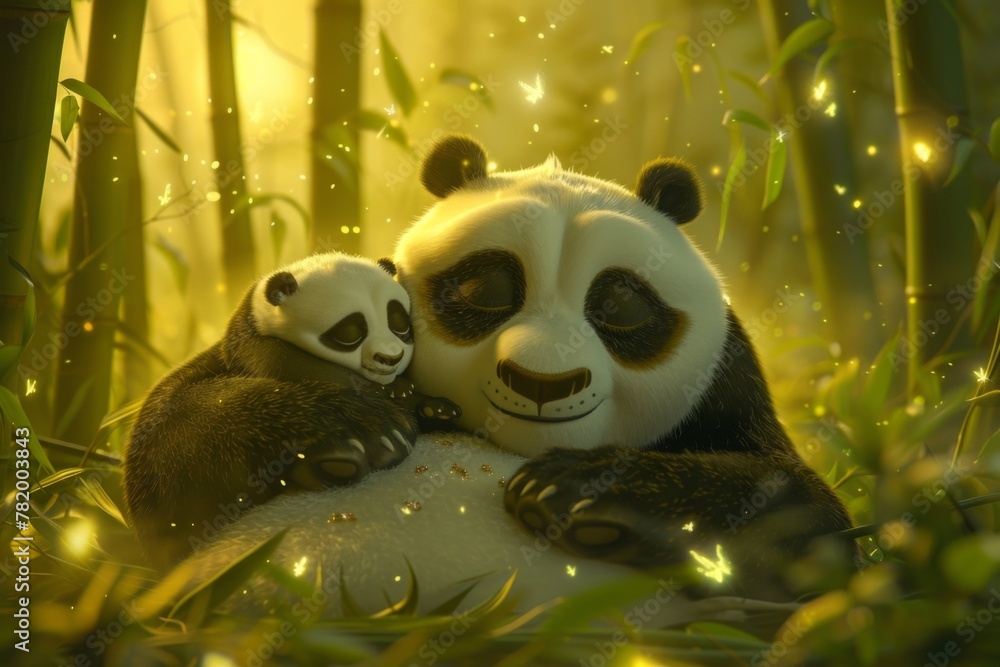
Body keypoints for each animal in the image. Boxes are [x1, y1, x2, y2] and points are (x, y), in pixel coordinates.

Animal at [122, 253, 459, 570]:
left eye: (400, 323)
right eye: (350, 331)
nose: (390, 358)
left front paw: (432, 406)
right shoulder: (255, 348)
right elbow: (300, 368)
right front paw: (393, 408)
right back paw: (362, 446)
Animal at [181, 136, 853, 612]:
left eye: (622, 305)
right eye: (487, 289)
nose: (543, 384)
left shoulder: (728, 385)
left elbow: (807, 518)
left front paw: (570, 493)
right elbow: (178, 431)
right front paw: (354, 431)